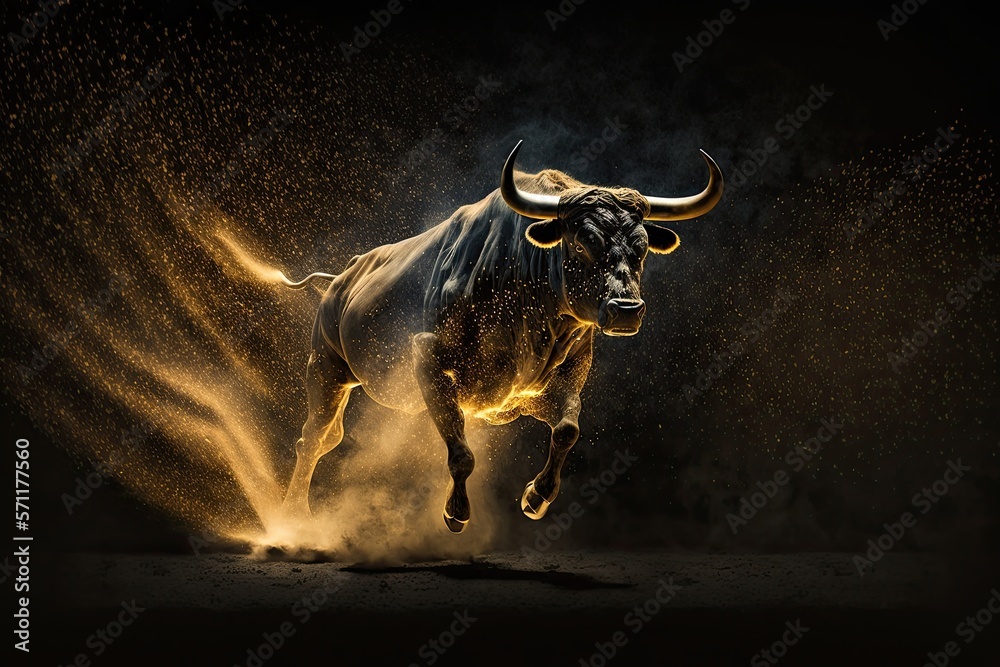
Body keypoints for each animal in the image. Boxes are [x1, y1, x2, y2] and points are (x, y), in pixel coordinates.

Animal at [275, 141, 722, 533]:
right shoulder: (426, 357)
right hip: (326, 369)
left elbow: (568, 429)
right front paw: (455, 512)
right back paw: (294, 517)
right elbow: (461, 453)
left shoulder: (536, 389)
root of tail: (341, 278)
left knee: (327, 438)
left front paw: (536, 497)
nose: (626, 310)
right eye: (582, 242)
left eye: (642, 247)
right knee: (312, 439)